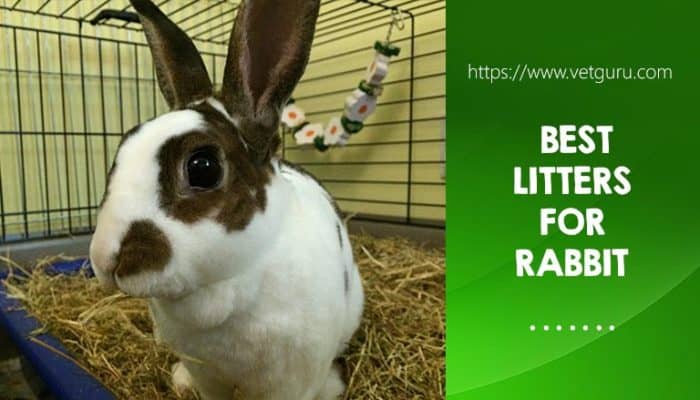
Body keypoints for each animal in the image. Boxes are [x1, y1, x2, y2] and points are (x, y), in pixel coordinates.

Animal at [88, 0, 364, 399]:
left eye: (203, 168)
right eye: (122, 148)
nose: (105, 259)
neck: (223, 288)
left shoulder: (291, 380)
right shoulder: (208, 374)